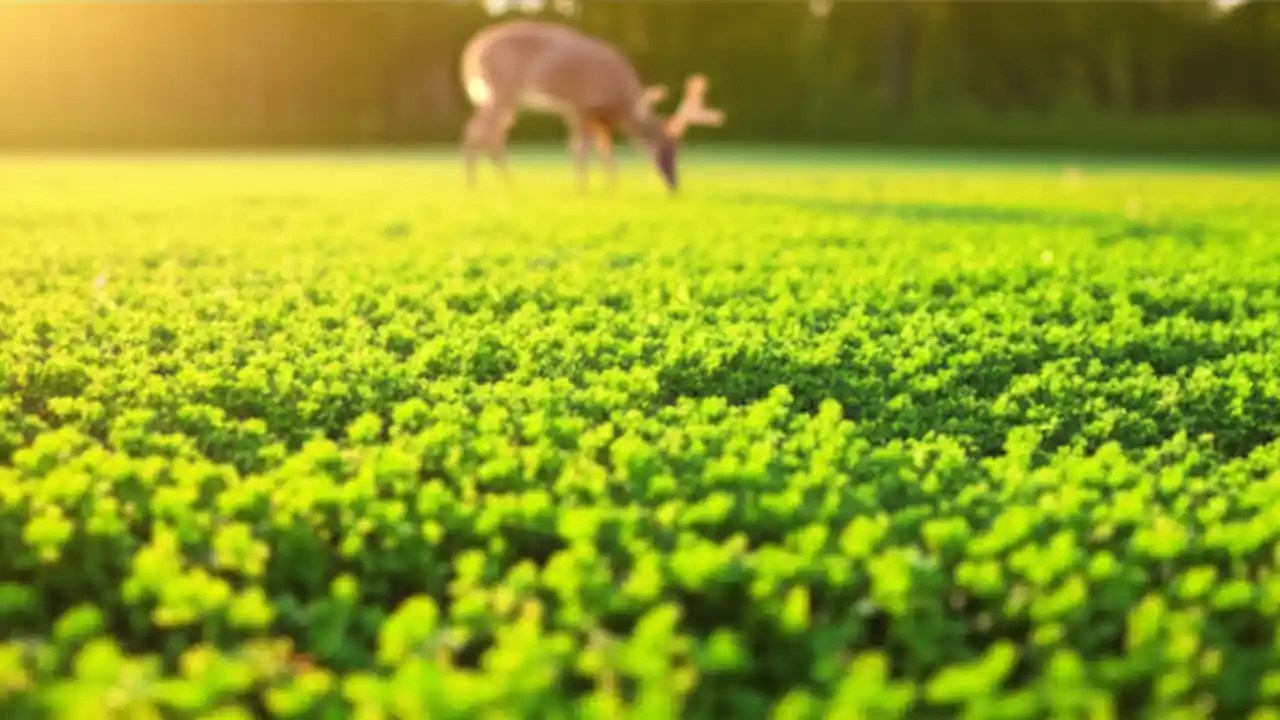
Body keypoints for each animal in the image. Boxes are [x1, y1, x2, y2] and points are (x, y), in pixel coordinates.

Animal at [459, 20, 725, 193]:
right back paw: (476, 184)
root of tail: (474, 49)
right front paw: (583, 186)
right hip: (502, 86)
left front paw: (611, 185)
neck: (620, 100)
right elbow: (581, 147)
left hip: (505, 96)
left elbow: (605, 148)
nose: (673, 185)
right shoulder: (581, 106)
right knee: (478, 130)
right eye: (660, 147)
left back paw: (505, 181)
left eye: (679, 150)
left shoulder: (596, 117)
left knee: (492, 132)